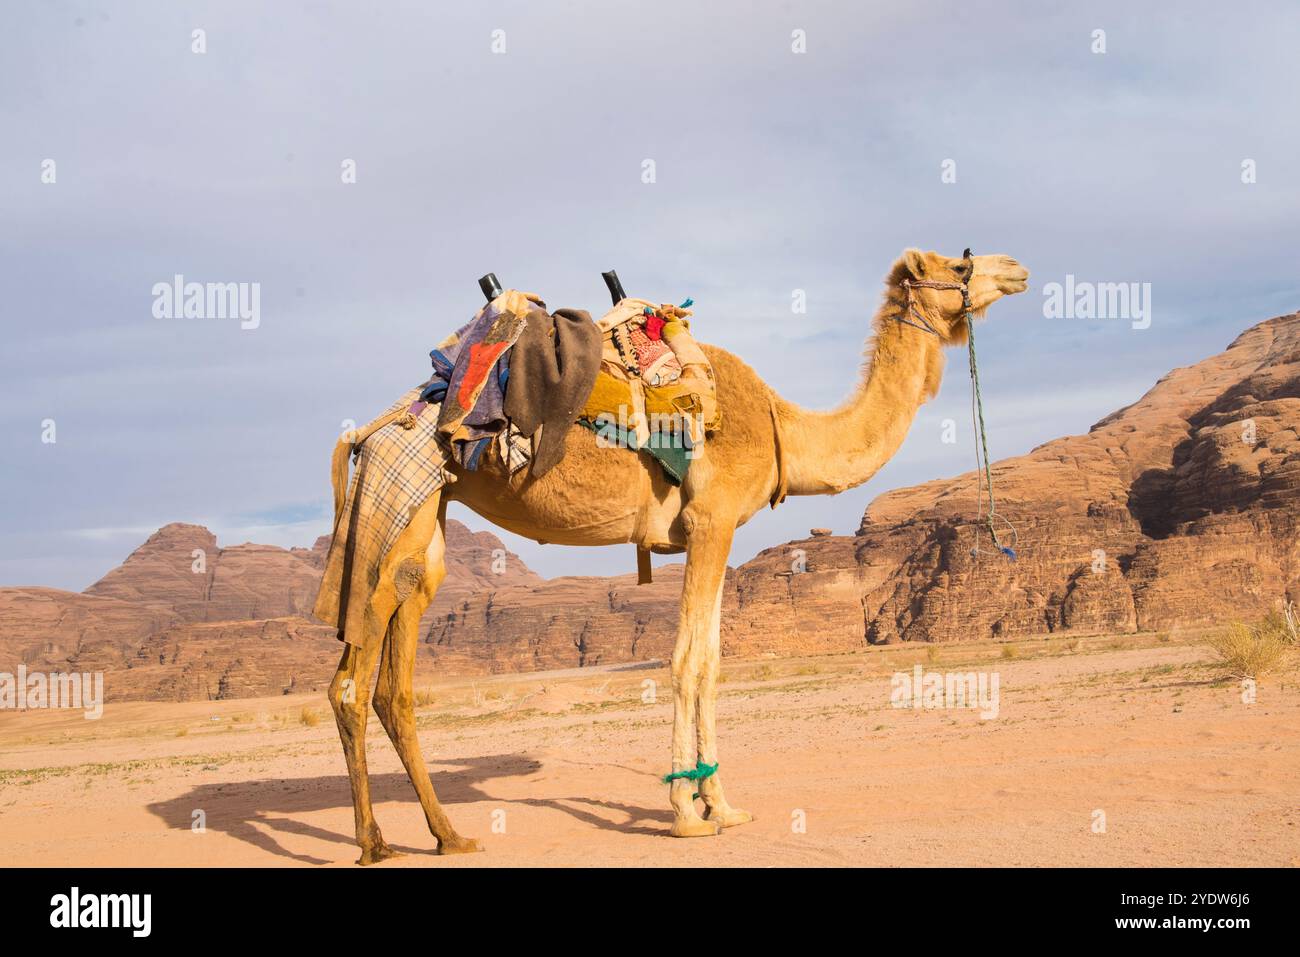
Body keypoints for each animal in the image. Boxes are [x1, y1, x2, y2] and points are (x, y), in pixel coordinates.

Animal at [324, 247, 1029, 863]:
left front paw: (722, 805)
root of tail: (373, 427)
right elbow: (690, 661)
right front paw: (689, 813)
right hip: (401, 497)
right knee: (354, 679)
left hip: (427, 524)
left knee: (393, 680)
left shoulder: (709, 534)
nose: (1017, 269)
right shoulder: (711, 524)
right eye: (959, 264)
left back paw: (444, 835)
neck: (781, 426)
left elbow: (710, 660)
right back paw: (375, 844)